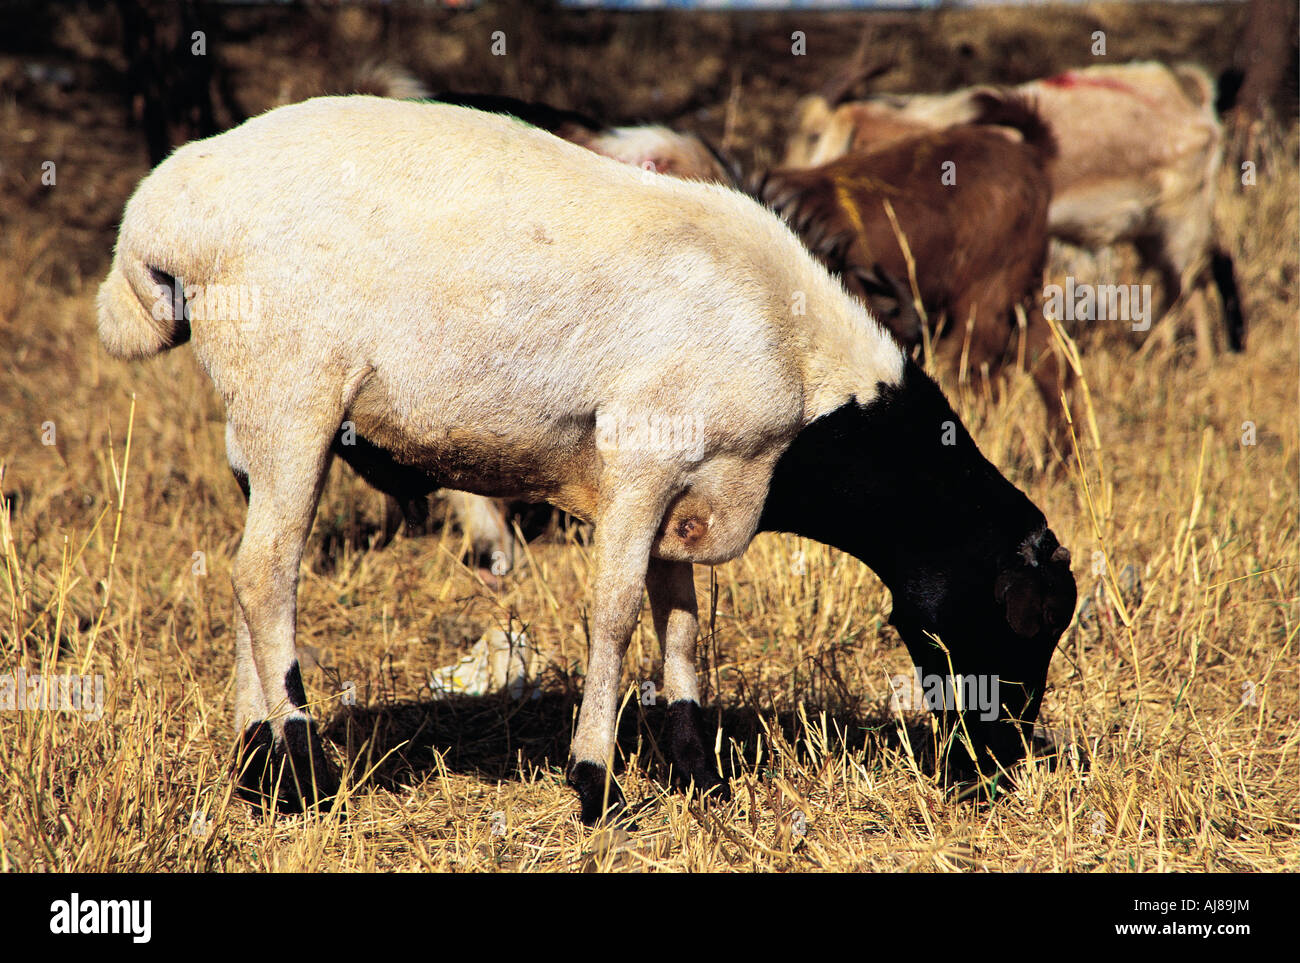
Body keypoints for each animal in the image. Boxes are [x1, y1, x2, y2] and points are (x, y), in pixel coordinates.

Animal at [784, 61, 1245, 359]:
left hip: (1181, 222)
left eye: (815, 134)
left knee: (1195, 283)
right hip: (1149, 231)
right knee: (1177, 287)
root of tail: (1194, 94)